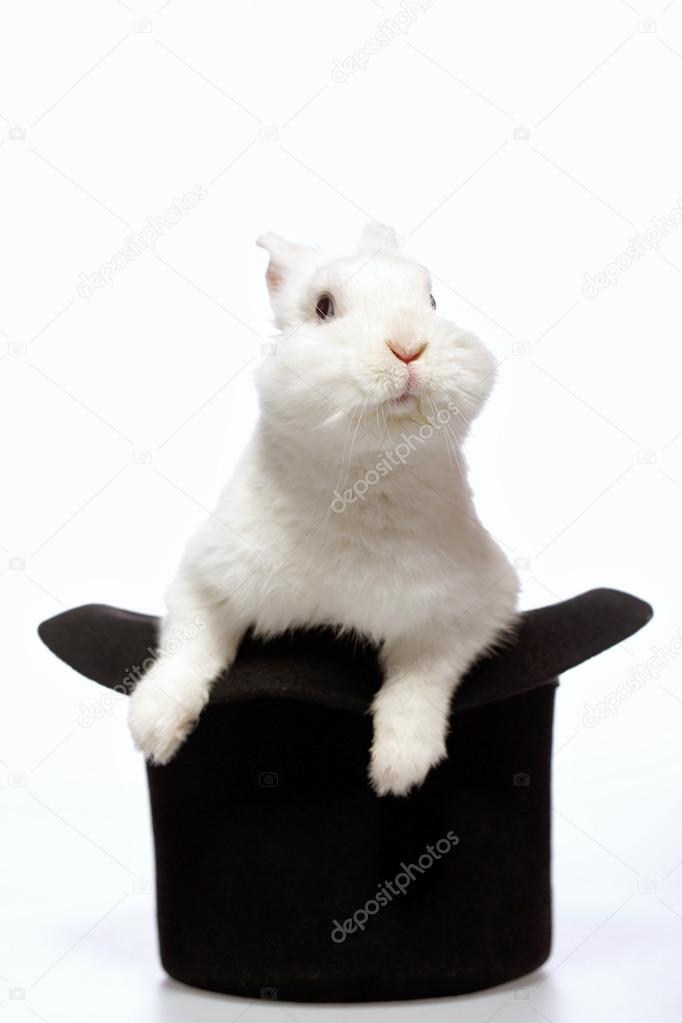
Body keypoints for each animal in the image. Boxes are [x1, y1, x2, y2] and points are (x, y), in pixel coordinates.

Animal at [128, 223, 519, 796]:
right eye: (324, 307)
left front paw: (400, 768)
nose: (408, 348)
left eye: (431, 301)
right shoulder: (203, 578)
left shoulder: (468, 612)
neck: (364, 478)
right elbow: (190, 646)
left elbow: (419, 682)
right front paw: (152, 728)